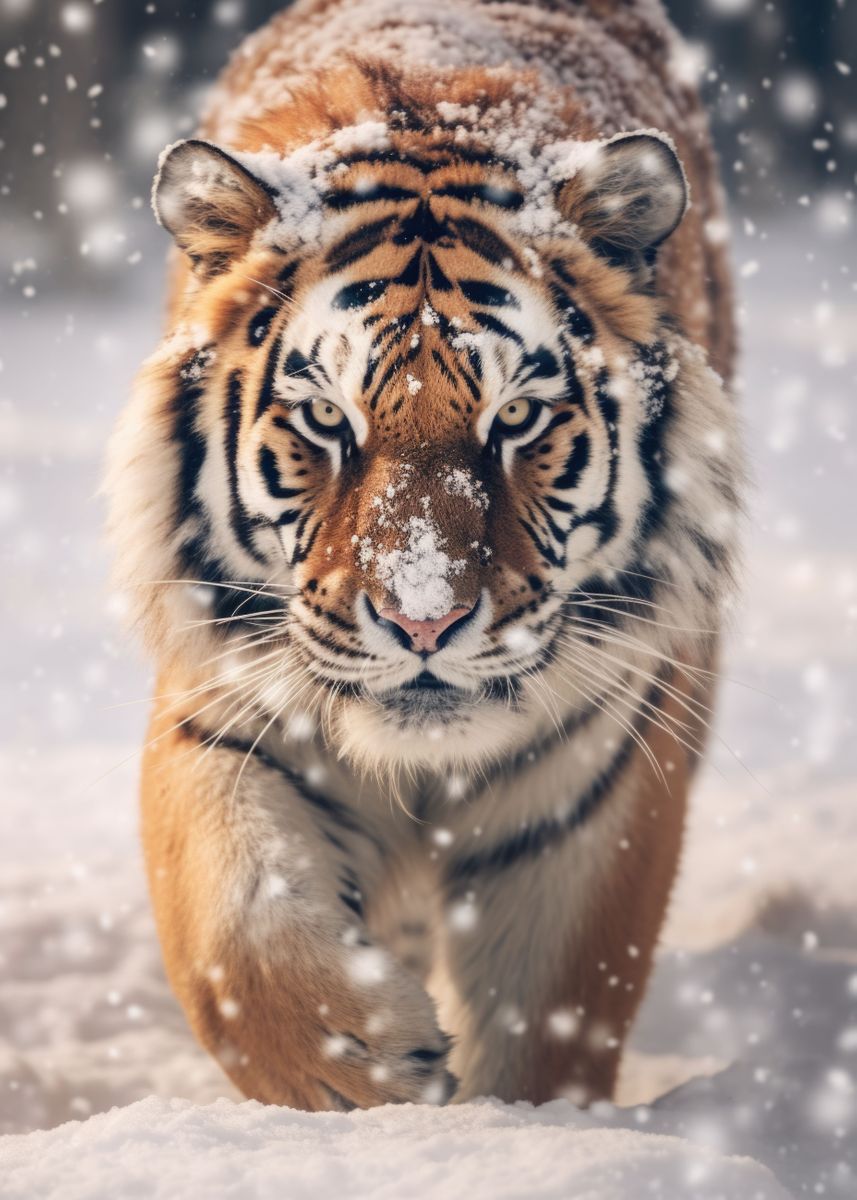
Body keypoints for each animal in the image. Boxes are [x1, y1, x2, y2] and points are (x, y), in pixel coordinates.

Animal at [106, 0, 742, 1111]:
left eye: (516, 420)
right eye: (326, 420)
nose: (423, 621)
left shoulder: (597, 779)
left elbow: (548, 1016)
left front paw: (495, 1120)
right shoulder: (222, 706)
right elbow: (236, 934)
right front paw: (369, 1072)